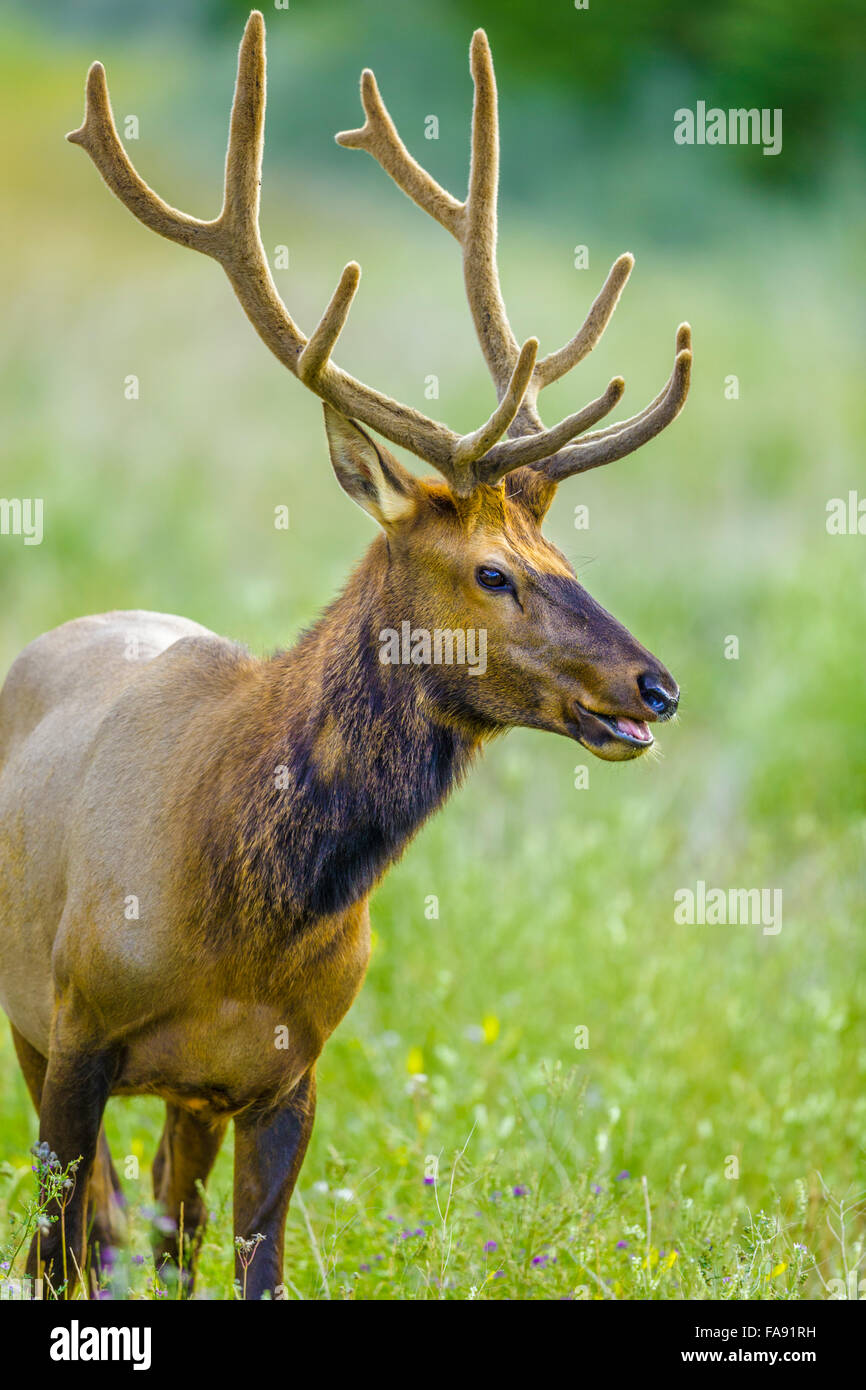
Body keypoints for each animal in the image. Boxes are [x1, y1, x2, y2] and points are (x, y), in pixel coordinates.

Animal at [0, 11, 690, 1299]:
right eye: (492, 571)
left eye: (559, 547)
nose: (653, 686)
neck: (237, 916)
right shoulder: (73, 1026)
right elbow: (61, 1246)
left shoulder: (289, 1070)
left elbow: (250, 1265)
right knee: (90, 1232)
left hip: (187, 1097)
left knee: (162, 1227)